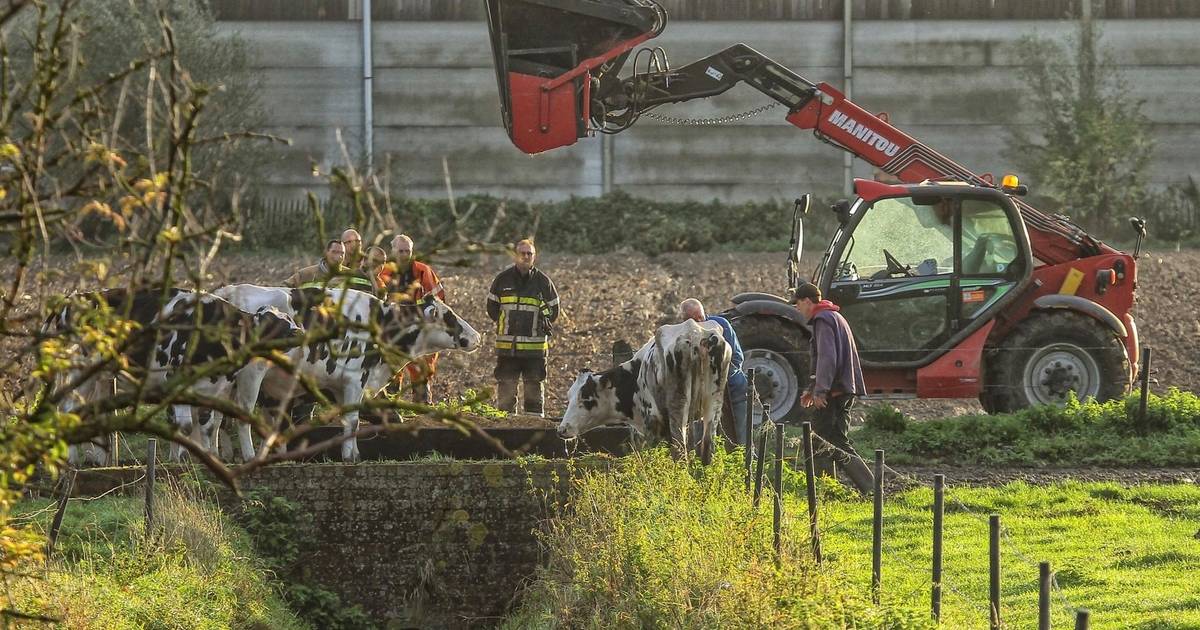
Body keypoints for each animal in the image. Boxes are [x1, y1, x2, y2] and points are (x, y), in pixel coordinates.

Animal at [43, 288, 304, 465]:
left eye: (290, 318)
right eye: (277, 323)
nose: (299, 332)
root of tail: (71, 298)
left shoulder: (211, 386)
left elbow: (207, 425)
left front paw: (207, 456)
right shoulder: (175, 377)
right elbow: (186, 426)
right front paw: (182, 459)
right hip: (80, 369)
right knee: (67, 410)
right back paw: (72, 461)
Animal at [211, 284, 482, 462]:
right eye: (449, 316)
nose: (477, 336)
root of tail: (228, 293)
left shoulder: (339, 385)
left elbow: (346, 420)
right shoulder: (355, 378)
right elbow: (353, 421)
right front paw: (351, 457)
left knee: (218, 417)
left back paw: (220, 455)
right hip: (251, 374)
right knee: (241, 415)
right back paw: (247, 456)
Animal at [557, 319, 731, 464]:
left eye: (585, 398)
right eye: (569, 396)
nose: (562, 429)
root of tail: (694, 334)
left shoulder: (652, 425)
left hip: (678, 408)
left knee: (680, 451)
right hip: (713, 404)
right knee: (707, 449)